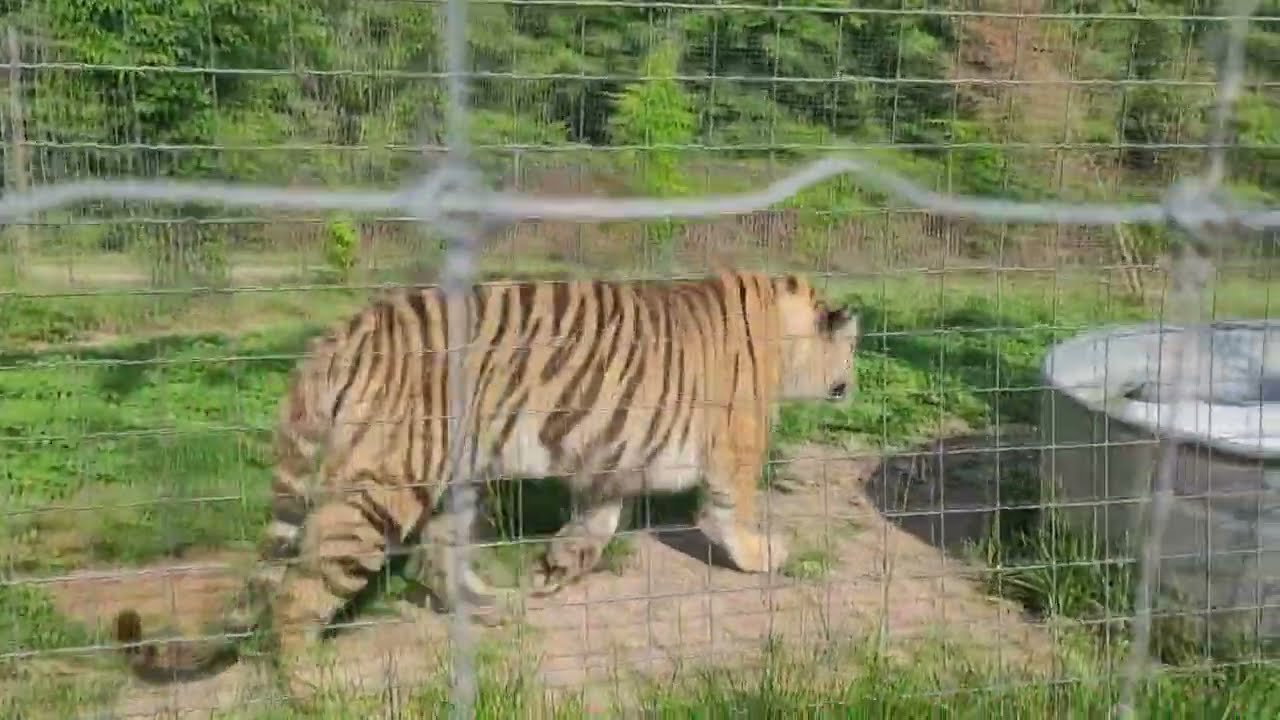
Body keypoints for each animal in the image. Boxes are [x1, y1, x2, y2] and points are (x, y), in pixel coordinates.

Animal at [112, 270, 861, 697]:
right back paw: (309, 686)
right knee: (302, 591)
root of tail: (346, 331)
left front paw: (556, 568)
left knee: (431, 556)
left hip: (454, 475)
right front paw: (765, 556)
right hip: (386, 483)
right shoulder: (733, 444)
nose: (851, 382)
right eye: (851, 350)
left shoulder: (613, 455)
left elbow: (598, 522)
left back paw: (488, 604)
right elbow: (728, 513)